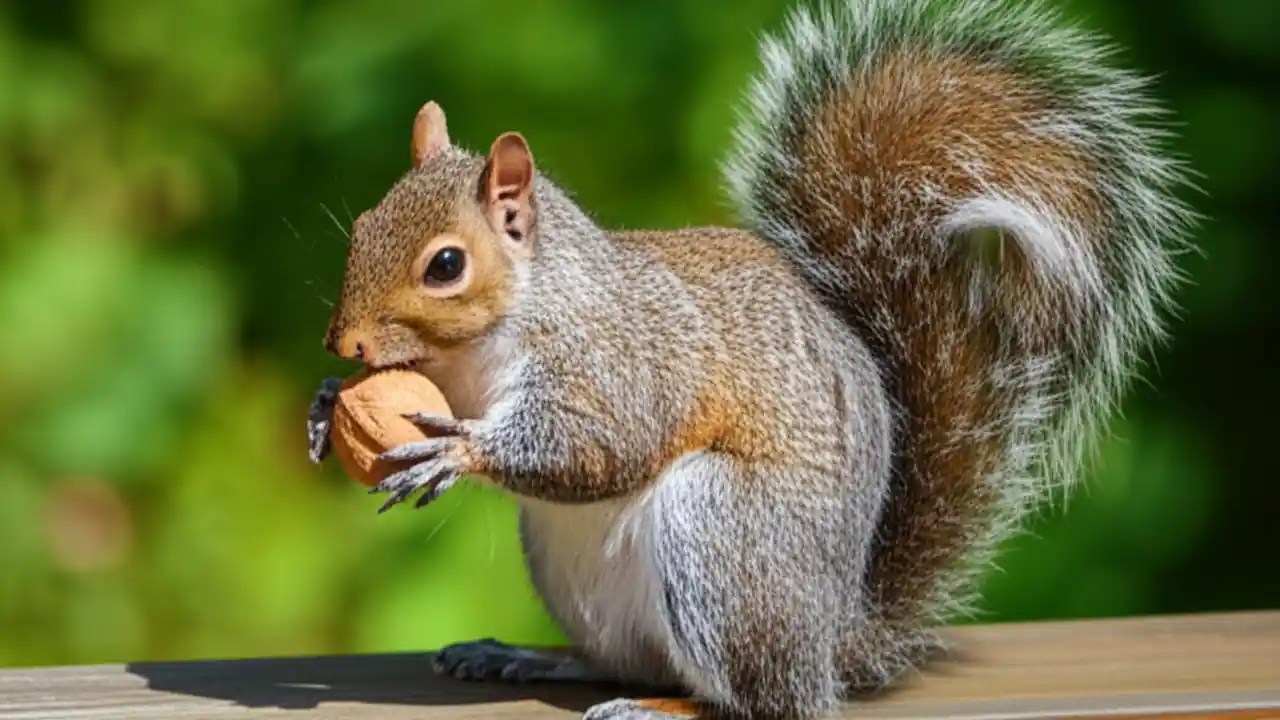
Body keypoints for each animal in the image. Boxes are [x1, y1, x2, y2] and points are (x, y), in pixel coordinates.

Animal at [305, 0, 1193, 718]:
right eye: (362, 225)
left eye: (446, 265)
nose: (343, 343)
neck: (484, 347)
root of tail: (835, 641)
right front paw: (324, 406)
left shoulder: (619, 359)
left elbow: (602, 445)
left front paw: (456, 452)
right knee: (634, 661)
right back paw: (531, 657)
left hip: (724, 542)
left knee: (758, 700)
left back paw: (664, 708)